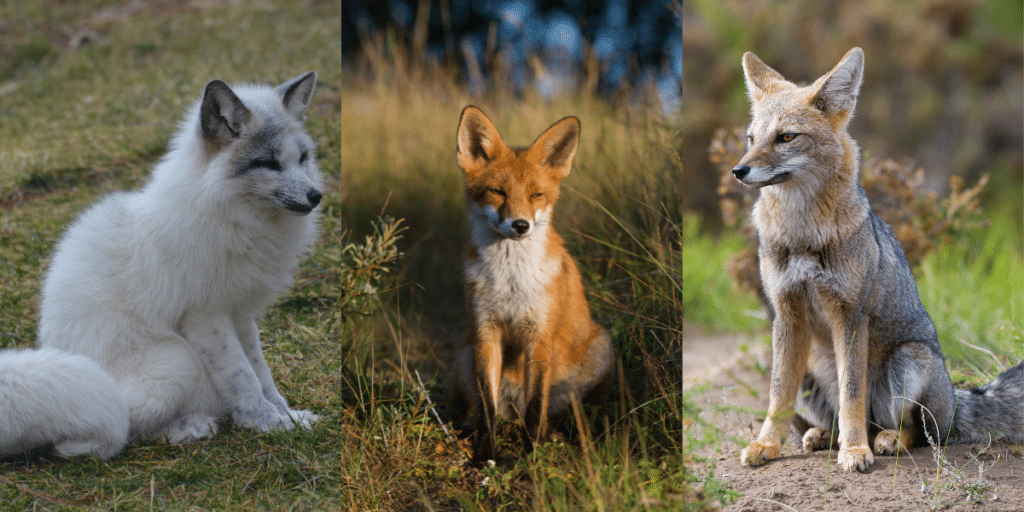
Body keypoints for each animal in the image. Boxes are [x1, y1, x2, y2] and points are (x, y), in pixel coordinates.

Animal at [0, 72, 323, 459]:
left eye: (302, 158)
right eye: (269, 163)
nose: (316, 196)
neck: (230, 216)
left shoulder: (241, 313)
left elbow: (261, 373)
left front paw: (287, 415)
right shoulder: (204, 315)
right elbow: (242, 376)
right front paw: (267, 424)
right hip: (178, 359)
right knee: (110, 431)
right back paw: (189, 427)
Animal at [448, 106, 615, 462]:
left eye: (536, 195)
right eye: (498, 192)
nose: (520, 225)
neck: (511, 281)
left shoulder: (539, 335)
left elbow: (536, 406)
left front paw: (532, 458)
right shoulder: (486, 334)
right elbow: (487, 409)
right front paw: (485, 457)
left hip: (600, 347)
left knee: (554, 411)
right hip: (464, 357)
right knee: (479, 410)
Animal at [732, 47, 1023, 472]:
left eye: (786, 137)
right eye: (751, 139)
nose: (738, 170)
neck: (803, 234)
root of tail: (955, 399)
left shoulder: (850, 315)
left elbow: (852, 394)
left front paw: (854, 452)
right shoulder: (786, 313)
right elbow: (777, 395)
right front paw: (766, 445)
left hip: (908, 363)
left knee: (916, 432)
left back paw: (883, 440)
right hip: (812, 375)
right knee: (835, 416)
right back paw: (823, 436)